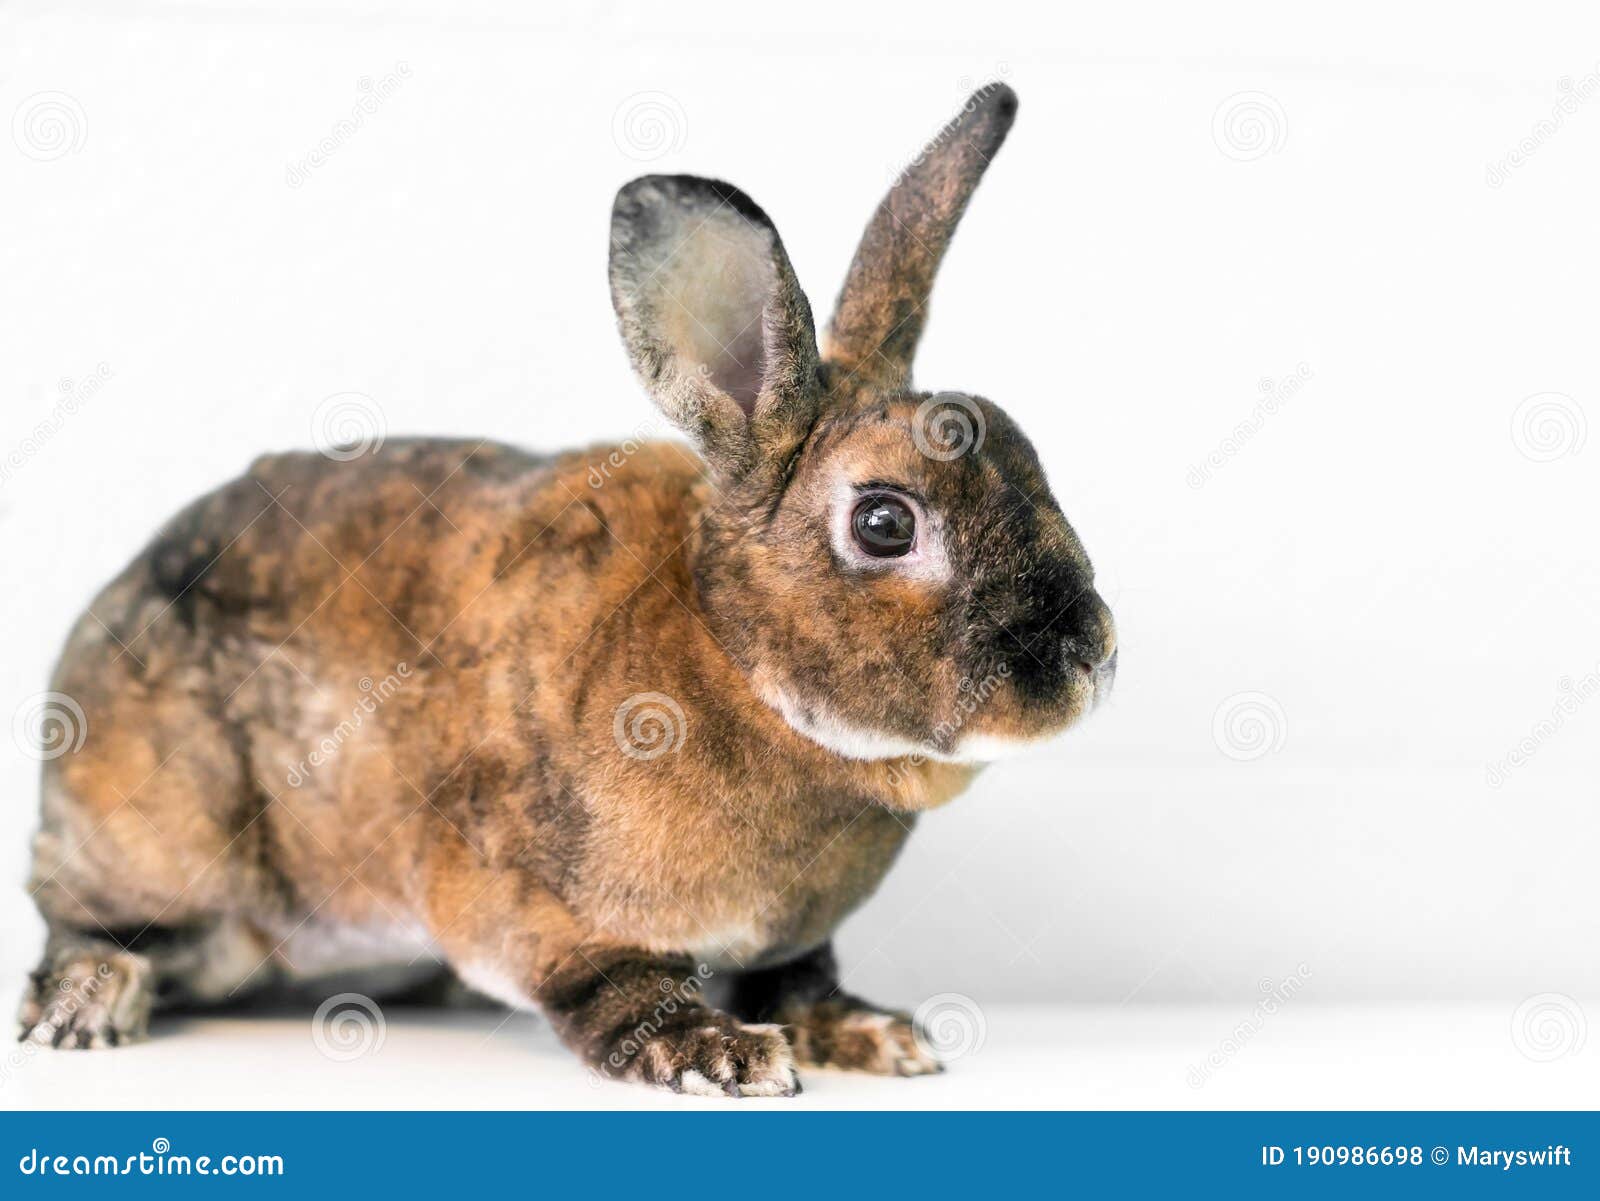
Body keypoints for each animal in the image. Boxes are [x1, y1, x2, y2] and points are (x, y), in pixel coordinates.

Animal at [17, 81, 1116, 1096]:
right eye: (885, 524)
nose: (1091, 657)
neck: (732, 654)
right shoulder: (536, 906)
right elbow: (618, 987)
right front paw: (720, 1055)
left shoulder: (787, 941)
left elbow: (798, 981)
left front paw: (877, 1036)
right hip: (162, 839)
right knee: (83, 919)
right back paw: (87, 1004)